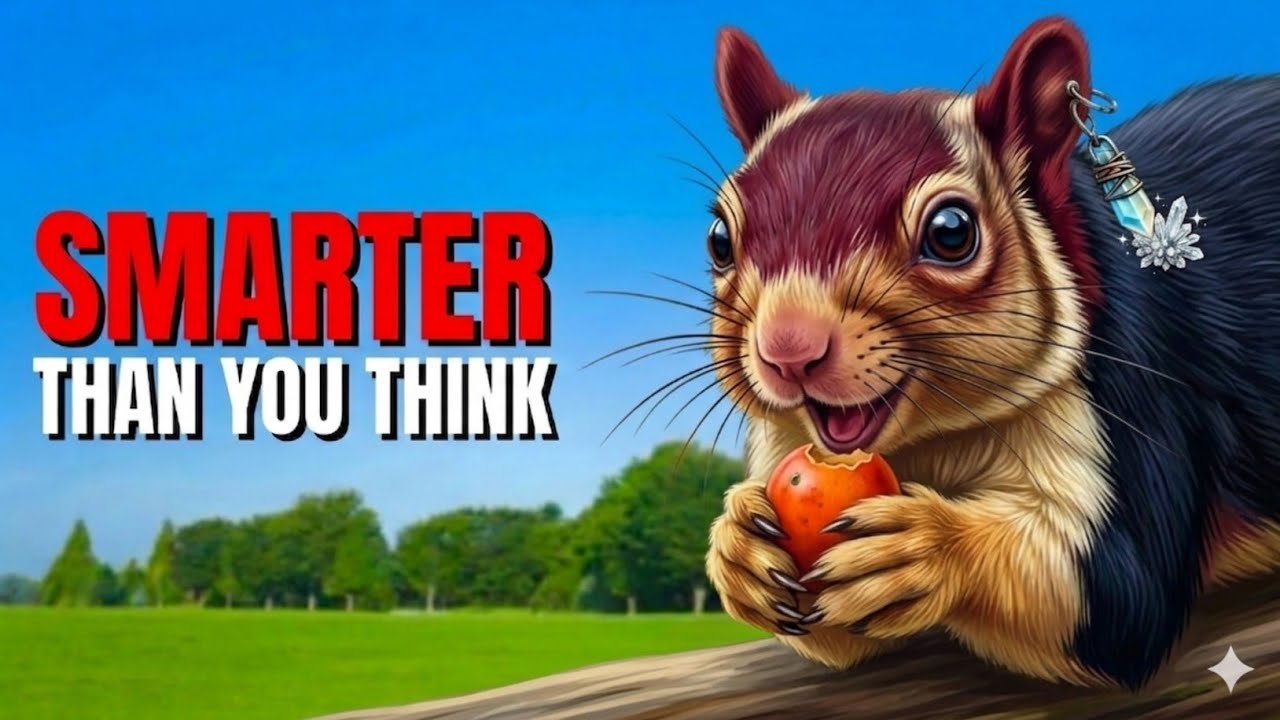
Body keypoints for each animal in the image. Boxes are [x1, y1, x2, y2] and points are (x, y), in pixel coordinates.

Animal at [702, 16, 1280, 689]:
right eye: (719, 237)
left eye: (952, 232)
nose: (788, 350)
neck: (934, 445)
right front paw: (740, 548)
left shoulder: (1135, 395)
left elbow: (1121, 596)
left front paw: (927, 548)